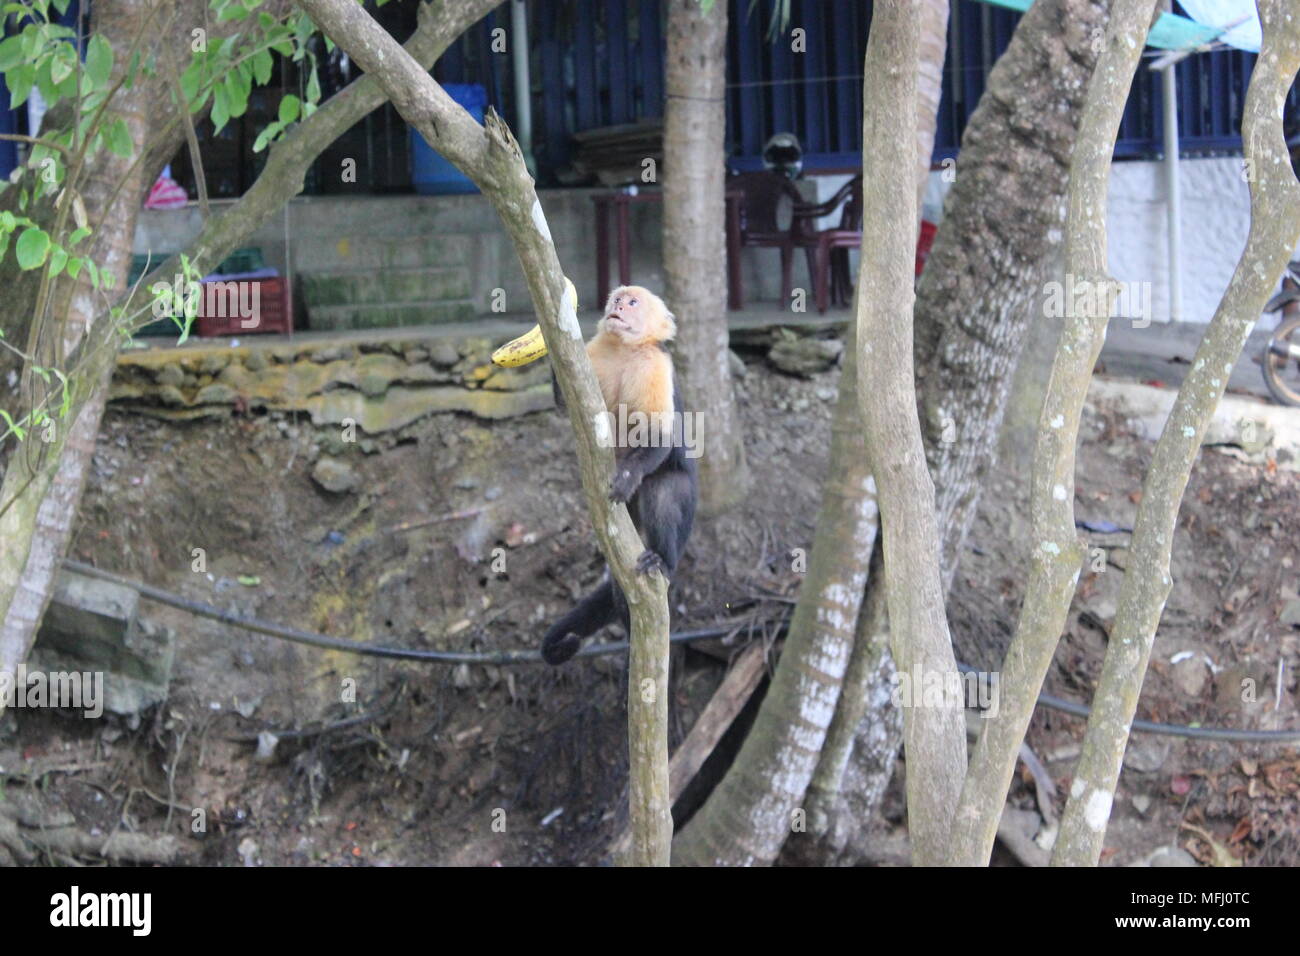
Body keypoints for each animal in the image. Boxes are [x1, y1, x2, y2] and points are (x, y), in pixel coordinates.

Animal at [541, 285, 698, 666]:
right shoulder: (595, 353)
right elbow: (564, 402)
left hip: (685, 498)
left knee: (664, 491)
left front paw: (628, 475)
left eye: (633, 302)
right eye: (618, 299)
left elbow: (659, 433)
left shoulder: (656, 364)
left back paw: (662, 559)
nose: (618, 307)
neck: (625, 349)